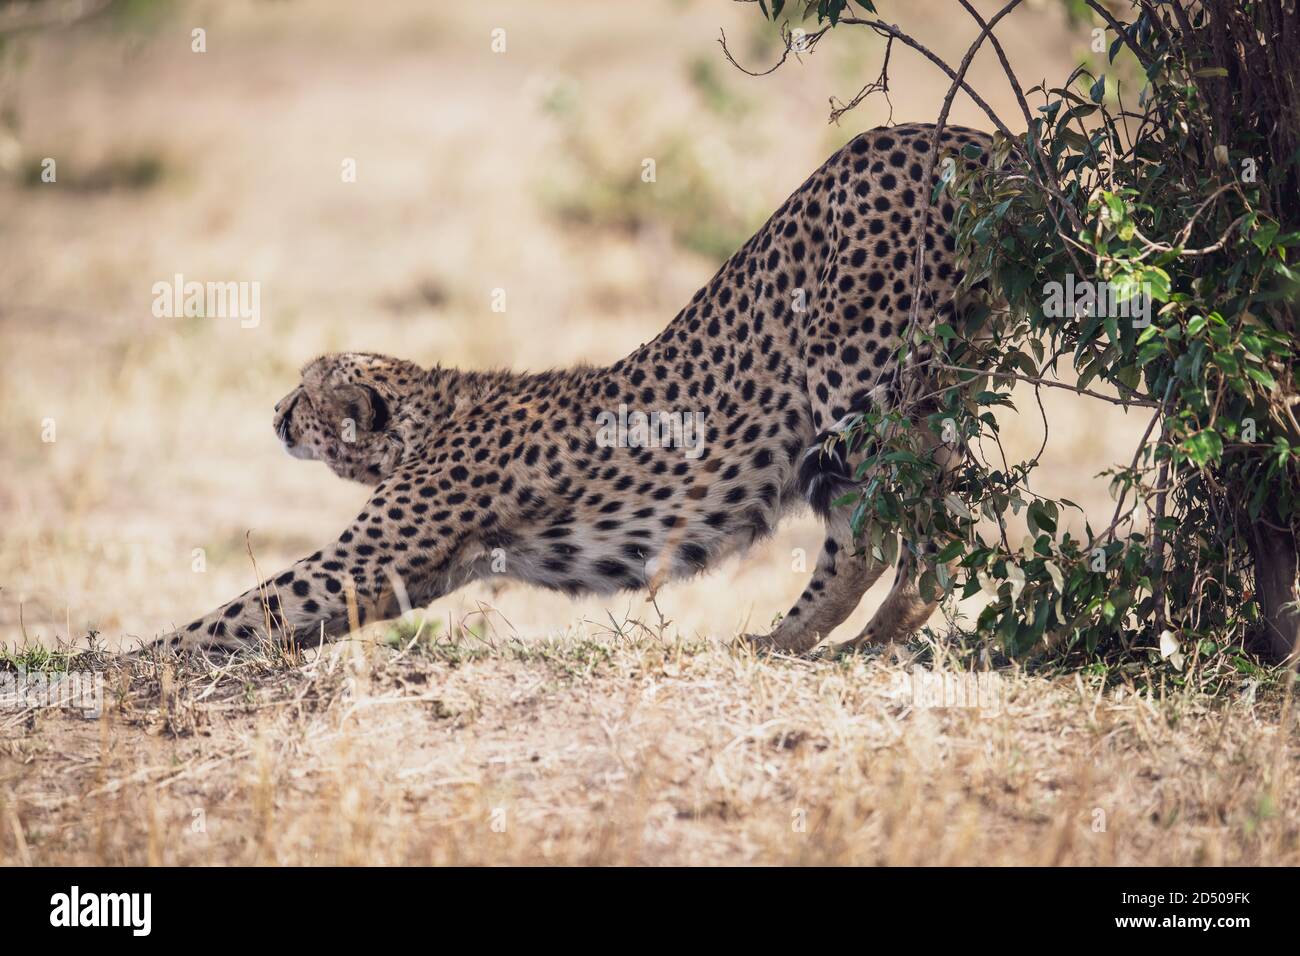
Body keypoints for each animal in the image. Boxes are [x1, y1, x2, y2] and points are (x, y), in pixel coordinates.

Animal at [149, 122, 992, 656]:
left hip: (852, 381)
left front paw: (131, 665)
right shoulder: (416, 575)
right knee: (935, 517)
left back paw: (802, 639)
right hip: (946, 382)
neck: (430, 412)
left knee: (873, 528)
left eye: (305, 392)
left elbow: (237, 611)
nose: (275, 415)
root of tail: (965, 136)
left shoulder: (366, 560)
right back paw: (854, 637)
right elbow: (265, 622)